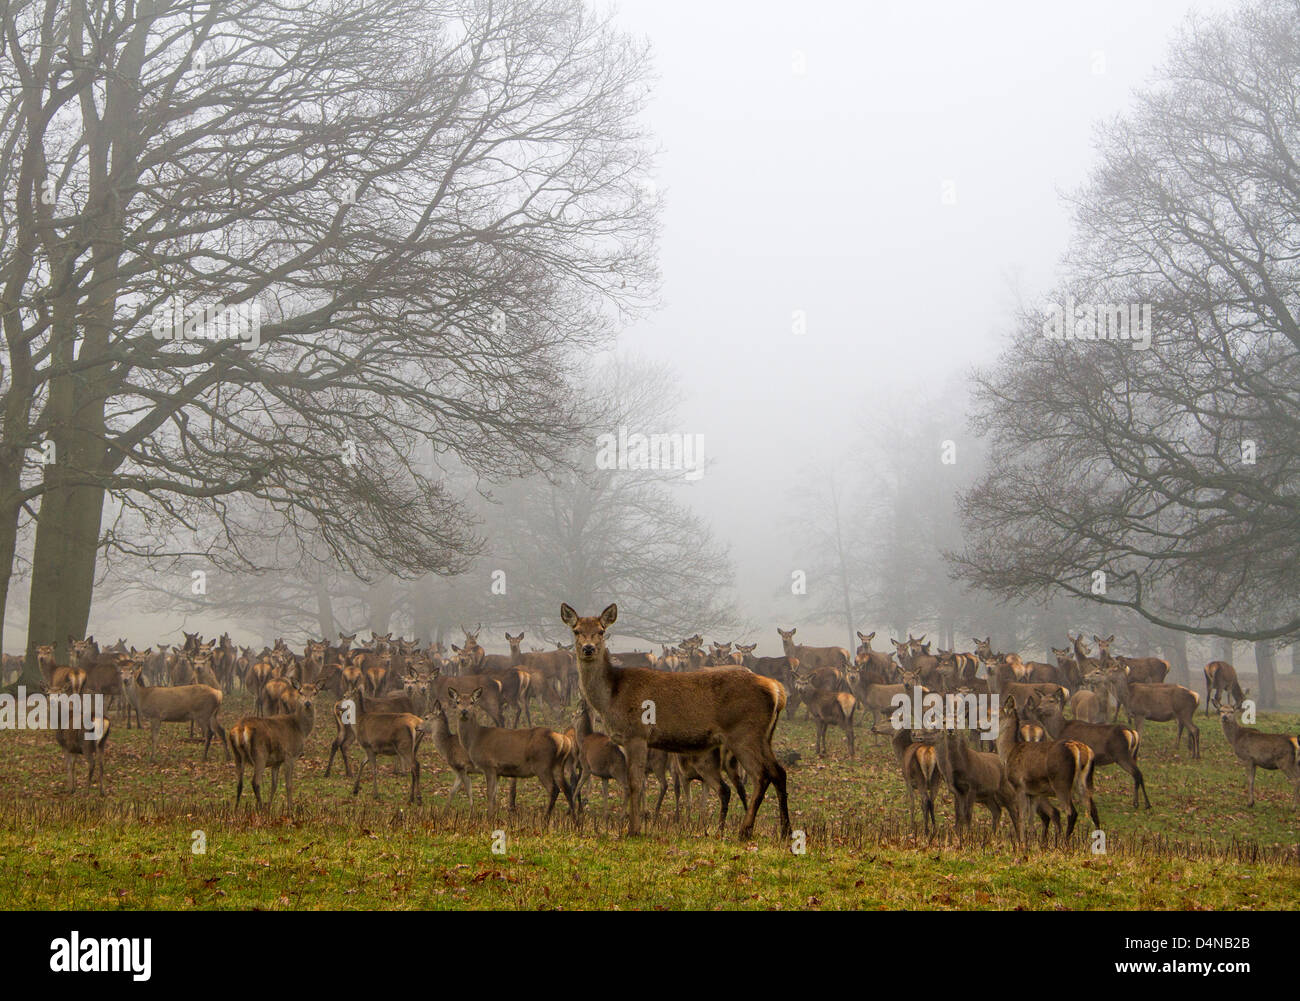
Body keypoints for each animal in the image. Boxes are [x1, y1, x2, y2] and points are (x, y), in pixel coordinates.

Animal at [446, 686, 574, 822]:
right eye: (458, 702)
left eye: (472, 702)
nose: (464, 712)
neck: (475, 739)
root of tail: (563, 739)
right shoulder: (497, 771)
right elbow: (494, 794)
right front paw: (494, 817)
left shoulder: (489, 765)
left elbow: (489, 794)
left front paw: (489, 819)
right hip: (558, 765)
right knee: (567, 788)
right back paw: (575, 818)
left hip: (542, 764)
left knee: (554, 789)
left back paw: (545, 818)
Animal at [567, 603, 790, 839]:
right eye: (576, 630)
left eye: (601, 631)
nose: (588, 648)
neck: (612, 695)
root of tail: (777, 690)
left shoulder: (636, 733)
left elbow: (635, 782)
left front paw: (634, 830)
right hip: (763, 736)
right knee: (778, 772)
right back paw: (785, 830)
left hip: (743, 733)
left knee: (761, 775)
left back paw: (745, 830)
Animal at [996, 694, 1100, 846]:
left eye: (995, 714)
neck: (1010, 752)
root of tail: (1081, 750)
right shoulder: (1033, 792)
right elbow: (1031, 819)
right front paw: (1032, 842)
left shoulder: (1019, 786)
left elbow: (1022, 817)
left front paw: (1022, 843)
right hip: (1083, 781)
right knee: (1093, 810)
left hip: (1061, 782)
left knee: (1071, 812)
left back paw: (1064, 843)